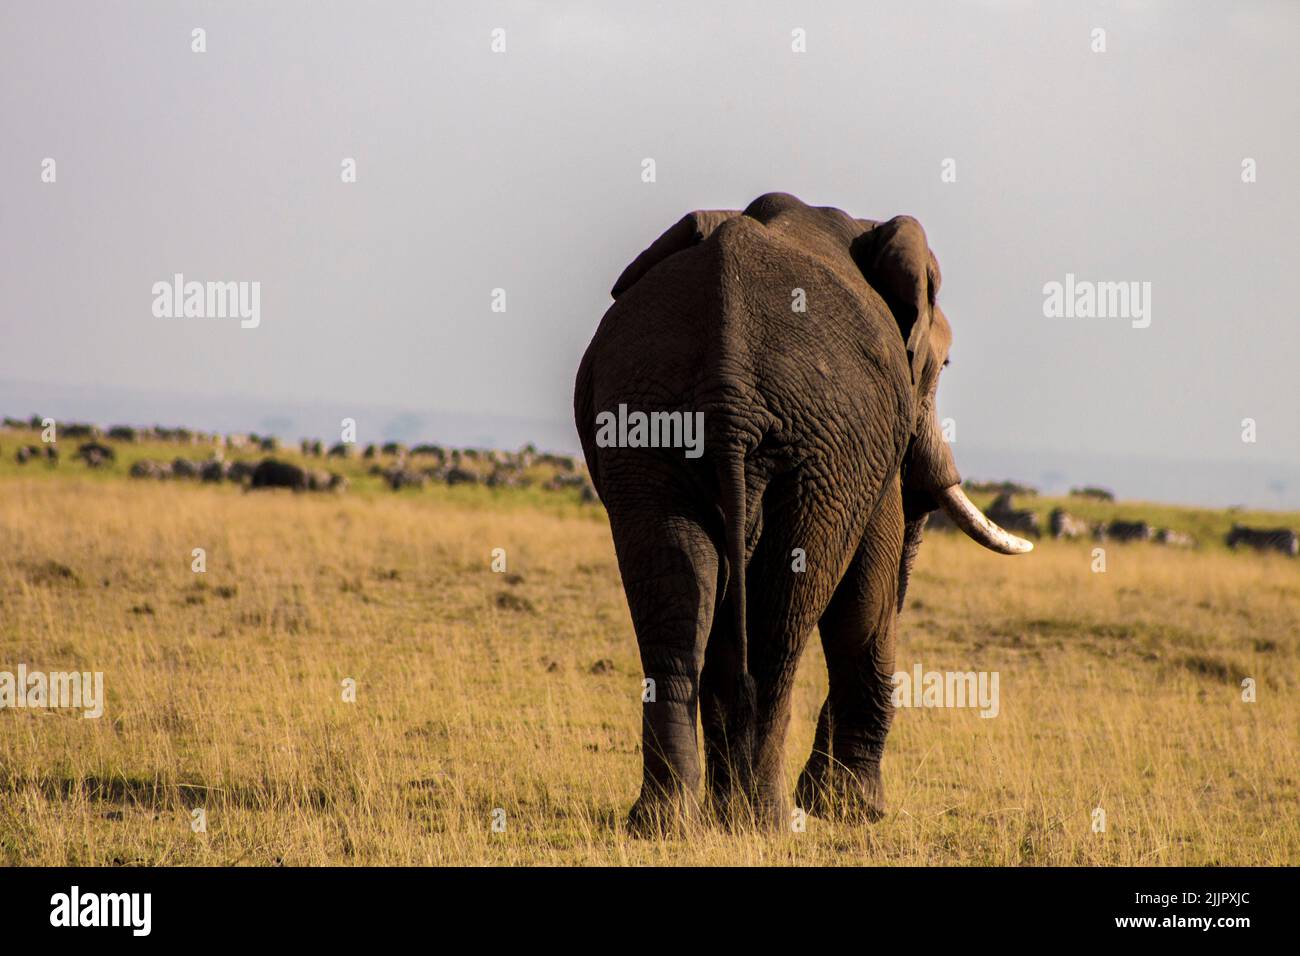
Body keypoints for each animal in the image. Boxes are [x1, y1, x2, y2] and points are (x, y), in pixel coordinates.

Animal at [573, 192, 1033, 834]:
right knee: (782, 624)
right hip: (823, 452)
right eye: (942, 367)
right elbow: (866, 593)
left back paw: (670, 821)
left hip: (645, 425)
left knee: (675, 599)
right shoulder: (867, 459)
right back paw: (768, 818)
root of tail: (730, 385)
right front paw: (857, 810)